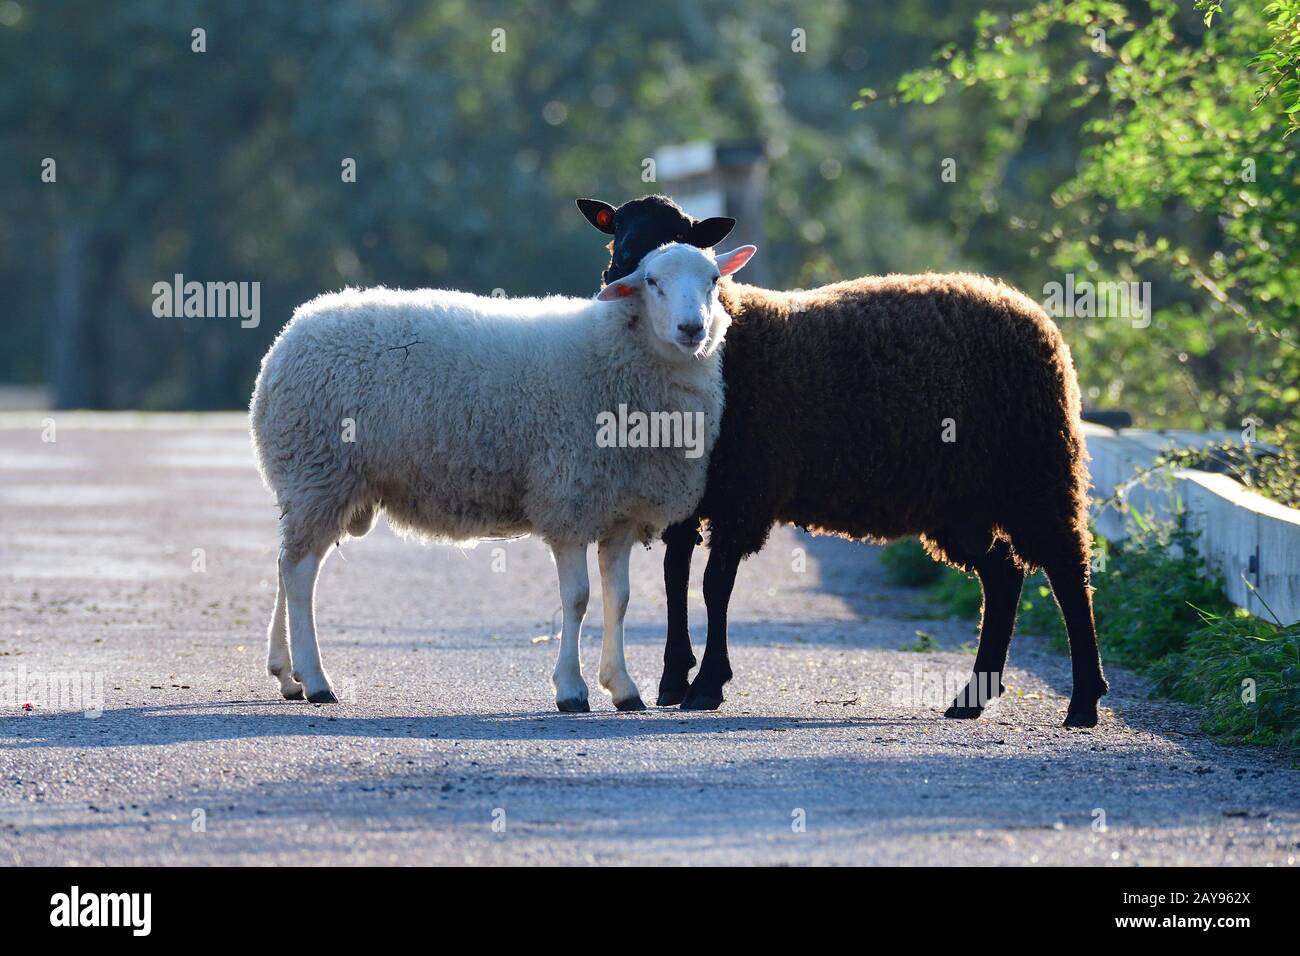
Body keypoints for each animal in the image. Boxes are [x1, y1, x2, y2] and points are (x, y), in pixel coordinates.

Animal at [249, 241, 757, 711]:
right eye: (652, 282)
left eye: (713, 280)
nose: (692, 329)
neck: (616, 356)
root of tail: (289, 336)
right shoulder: (567, 497)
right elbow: (578, 598)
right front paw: (571, 690)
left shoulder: (621, 511)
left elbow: (620, 599)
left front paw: (623, 687)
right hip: (319, 472)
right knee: (299, 573)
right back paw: (316, 680)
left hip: (312, 483)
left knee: (286, 563)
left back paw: (287, 675)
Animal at [578, 195, 1108, 728]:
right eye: (620, 245)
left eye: (701, 260)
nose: (687, 327)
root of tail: (1027, 309)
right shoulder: (690, 496)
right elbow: (676, 577)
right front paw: (674, 679)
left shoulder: (746, 492)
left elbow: (714, 585)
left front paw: (707, 685)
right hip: (962, 503)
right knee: (1002, 575)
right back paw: (971, 699)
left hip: (1039, 471)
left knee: (1068, 571)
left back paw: (1084, 701)